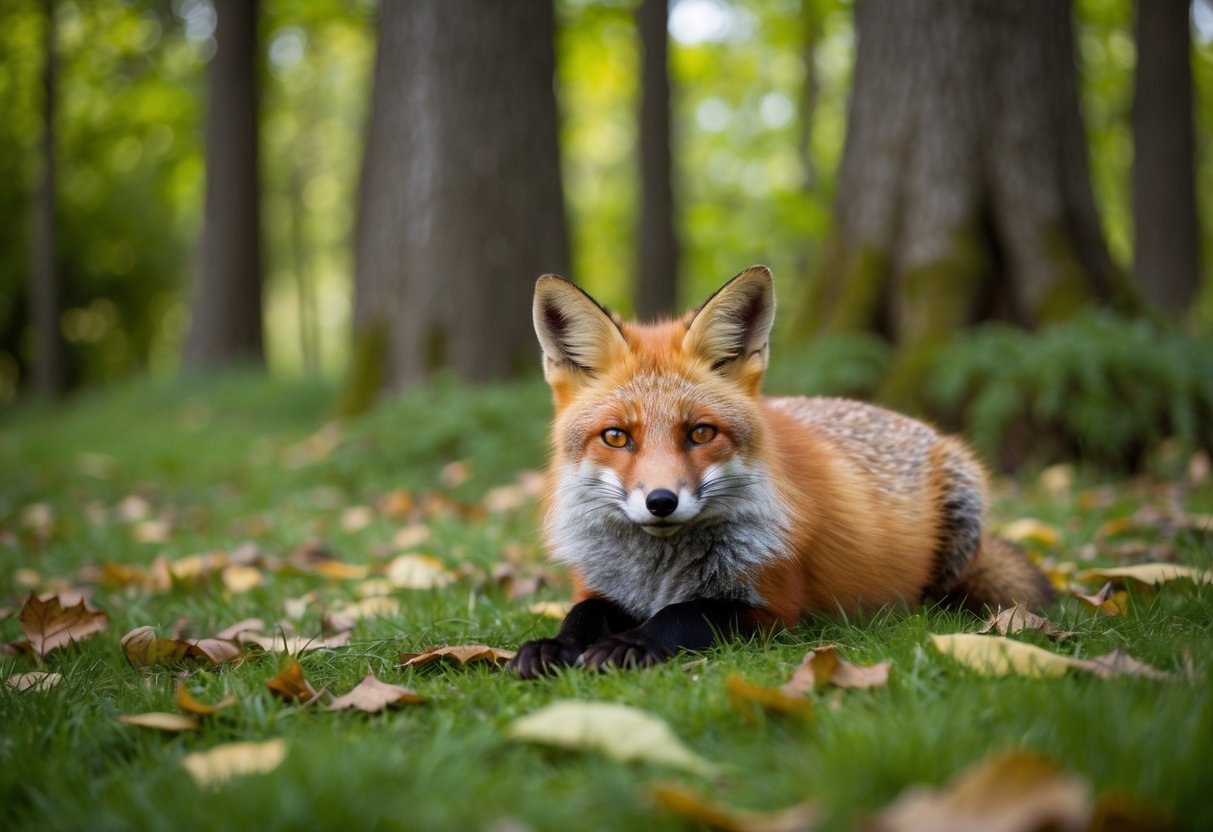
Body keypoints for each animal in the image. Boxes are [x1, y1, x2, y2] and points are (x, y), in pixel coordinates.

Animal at [509, 265, 1055, 677]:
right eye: (616, 437)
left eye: (700, 433)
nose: (661, 501)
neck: (657, 574)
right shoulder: (600, 588)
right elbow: (580, 614)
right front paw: (553, 647)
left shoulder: (774, 608)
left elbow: (685, 614)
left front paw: (632, 644)